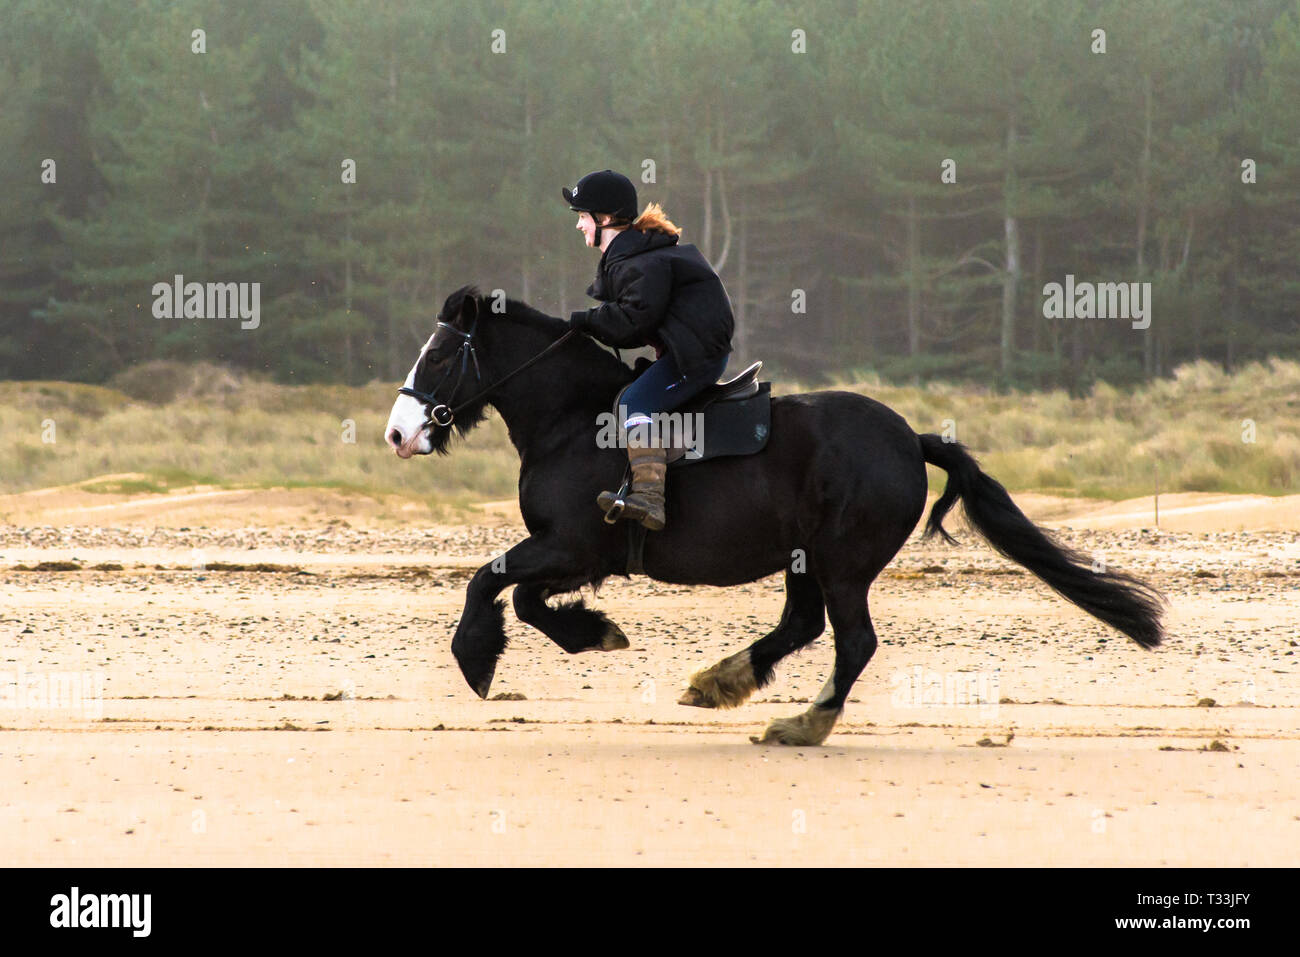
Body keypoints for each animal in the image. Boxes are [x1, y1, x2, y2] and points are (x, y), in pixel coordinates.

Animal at [385, 285, 1166, 746]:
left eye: (440, 354)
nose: (397, 432)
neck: (573, 419)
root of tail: (911, 439)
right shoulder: (573, 555)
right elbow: (521, 596)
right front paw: (593, 630)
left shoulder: (571, 544)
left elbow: (491, 582)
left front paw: (480, 656)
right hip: (804, 559)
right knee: (803, 624)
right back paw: (722, 680)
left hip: (843, 563)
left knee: (853, 641)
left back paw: (802, 722)